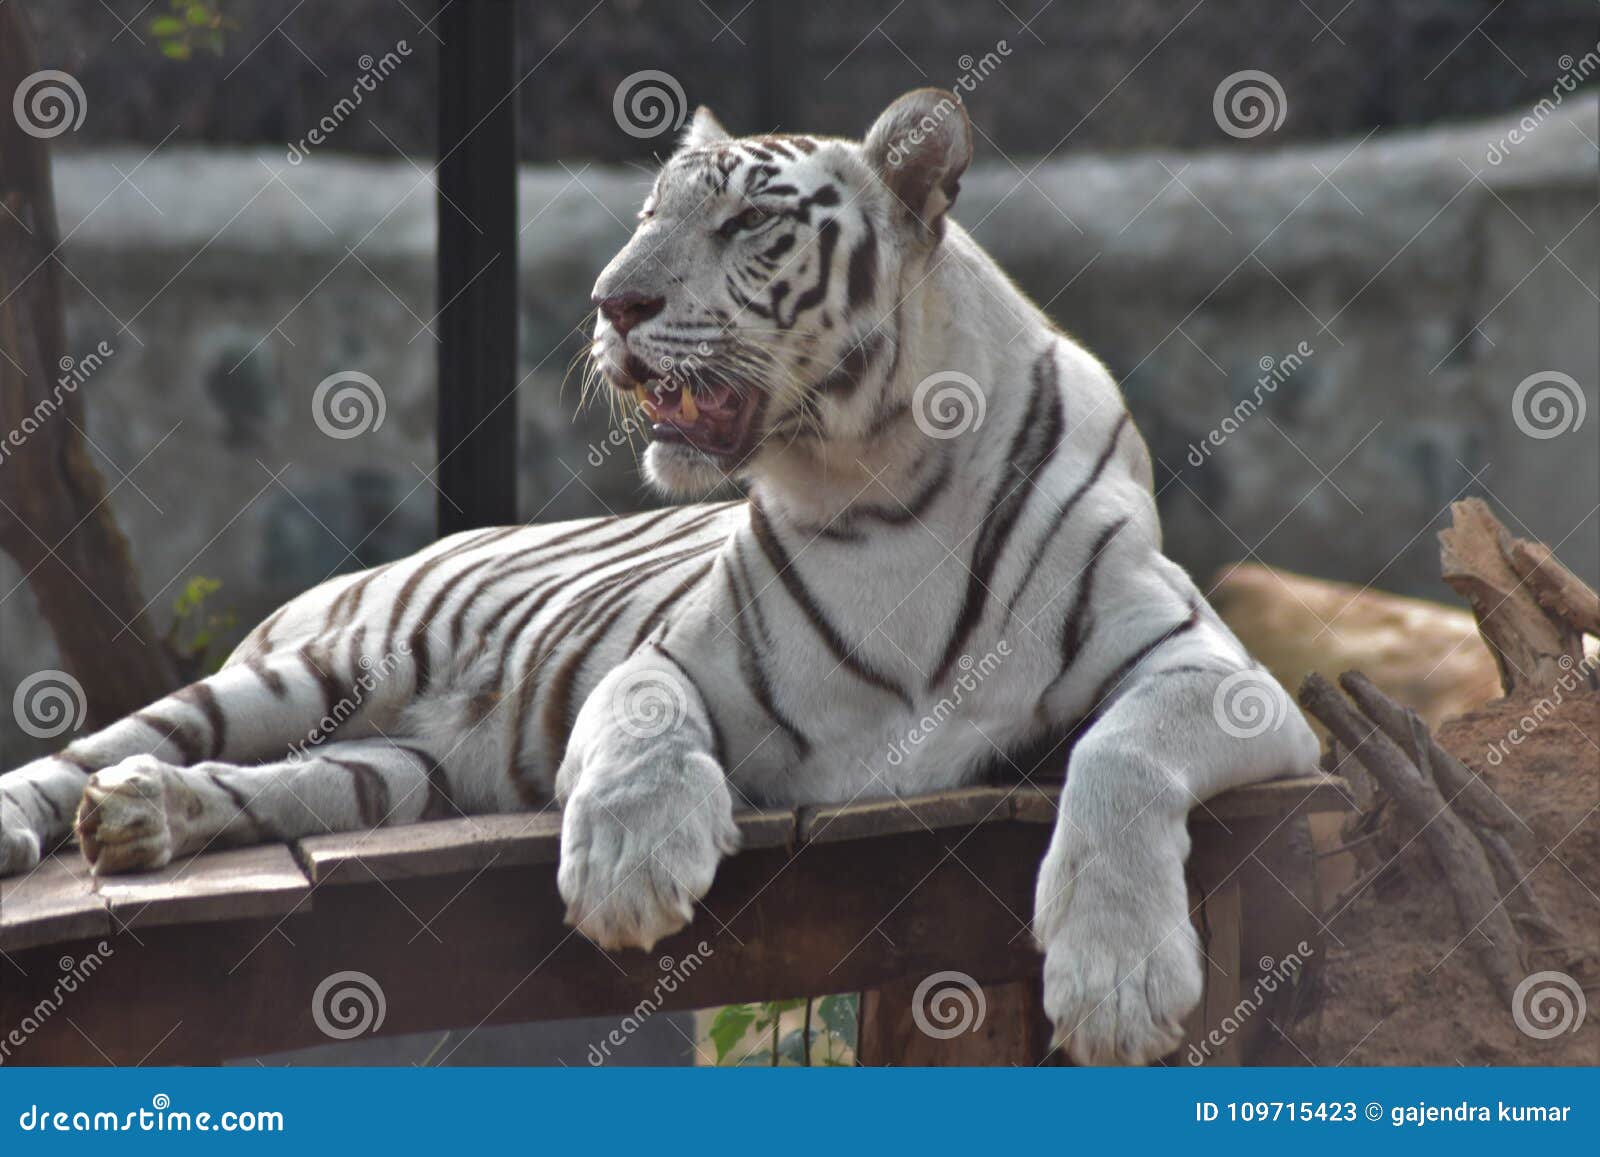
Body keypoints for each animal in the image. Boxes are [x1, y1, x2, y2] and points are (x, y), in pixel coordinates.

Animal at [0, 89, 1318, 1065]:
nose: (611, 300)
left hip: (394, 772)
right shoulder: (671, 656)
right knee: (88, 748)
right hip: (306, 670)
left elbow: (1121, 754)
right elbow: (638, 714)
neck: (880, 479)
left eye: (746, 226)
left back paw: (145, 816)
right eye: (648, 216)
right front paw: (630, 869)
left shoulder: (1221, 673)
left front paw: (1118, 979)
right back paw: (72, 811)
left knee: (273, 783)